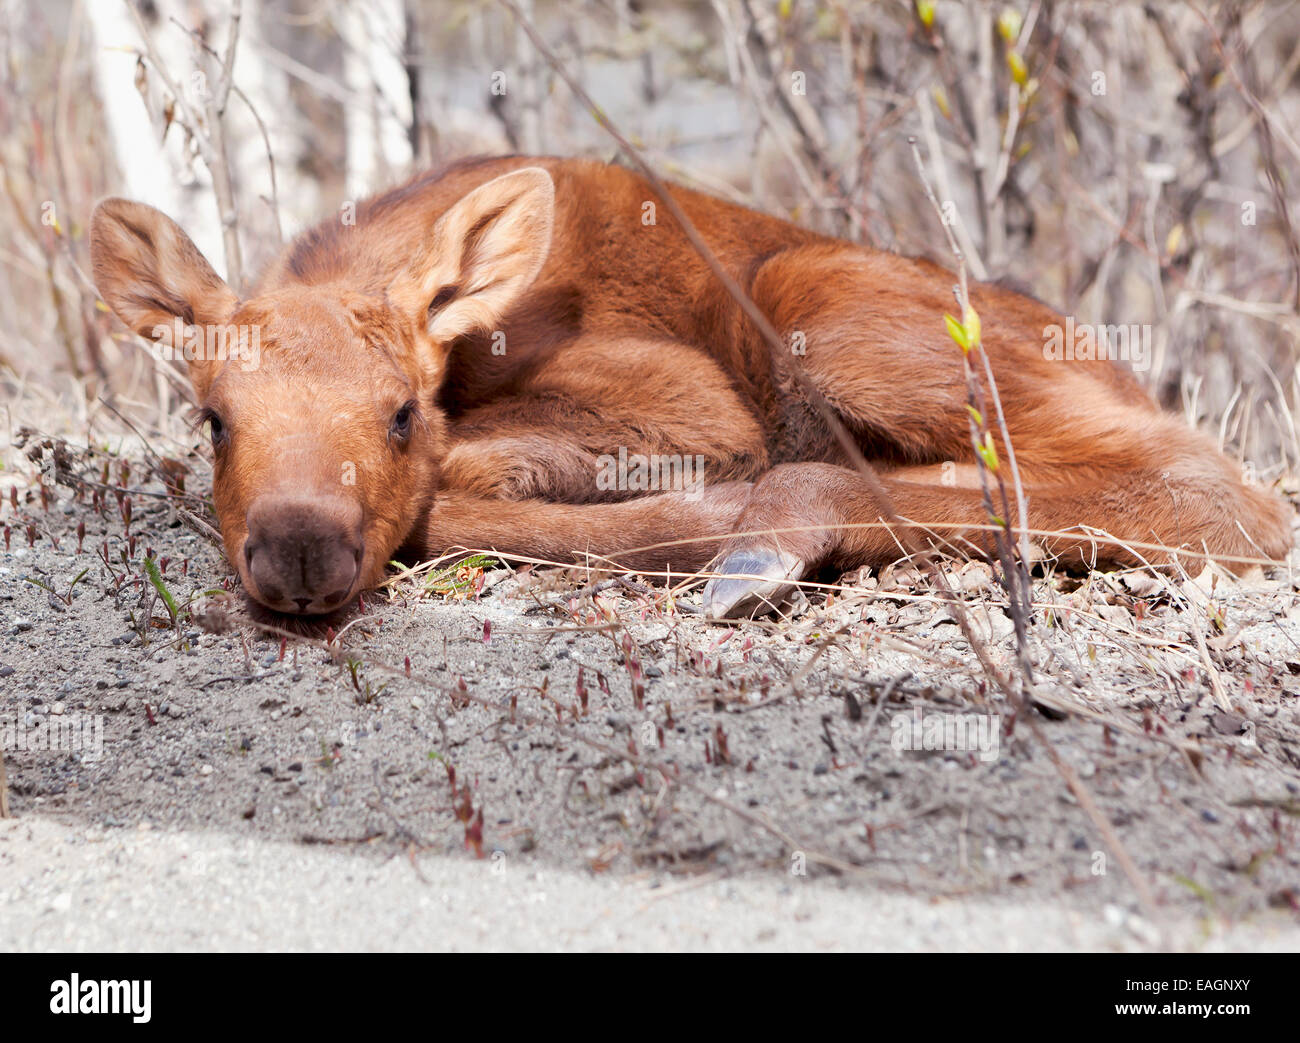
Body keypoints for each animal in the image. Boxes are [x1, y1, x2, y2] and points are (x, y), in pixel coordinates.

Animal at [88, 155, 1292, 620]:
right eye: (213, 420)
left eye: (398, 413)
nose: (300, 553)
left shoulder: (689, 400)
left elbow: (459, 487)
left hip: (817, 301)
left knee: (1215, 486)